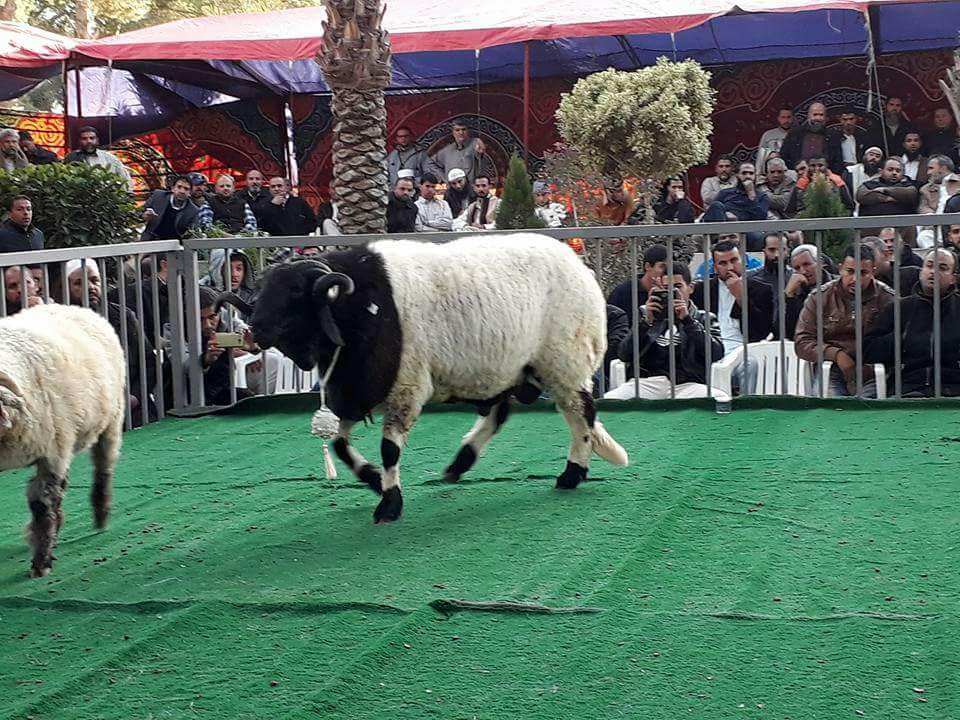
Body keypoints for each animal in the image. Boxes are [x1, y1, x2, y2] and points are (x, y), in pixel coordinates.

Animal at [0, 304, 126, 577]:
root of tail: (72, 307)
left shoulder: (51, 454)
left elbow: (42, 505)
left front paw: (41, 563)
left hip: (110, 422)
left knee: (103, 468)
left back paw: (101, 513)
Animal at [218, 234, 628, 523]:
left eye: (294, 293)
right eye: (265, 289)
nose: (255, 330)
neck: (357, 308)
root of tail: (576, 262)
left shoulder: (405, 386)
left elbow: (389, 449)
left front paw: (389, 503)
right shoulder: (356, 387)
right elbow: (338, 444)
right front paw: (373, 479)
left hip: (564, 361)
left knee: (581, 415)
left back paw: (572, 473)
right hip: (505, 366)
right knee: (499, 414)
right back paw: (459, 464)